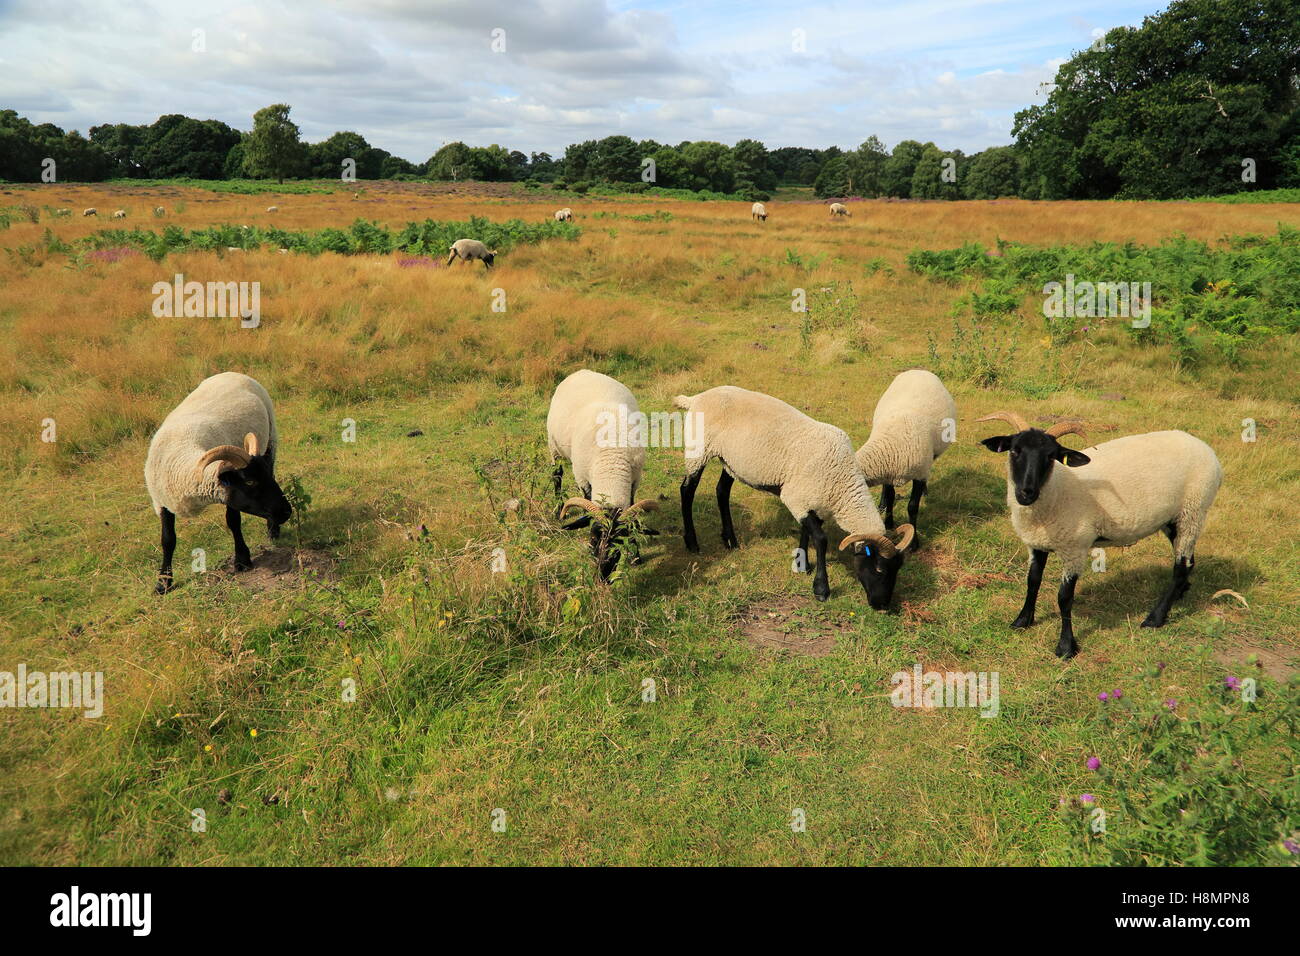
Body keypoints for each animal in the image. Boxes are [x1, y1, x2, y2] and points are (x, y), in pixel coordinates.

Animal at [144, 372, 293, 594]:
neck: (180, 459)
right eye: (249, 481)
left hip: (271, 440)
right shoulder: (160, 502)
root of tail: (232, 373)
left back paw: (273, 530)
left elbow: (233, 522)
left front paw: (242, 560)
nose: (287, 512)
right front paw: (163, 582)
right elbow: (168, 540)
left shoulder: (228, 496)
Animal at [548, 369, 657, 580]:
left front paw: (635, 556)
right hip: (554, 447)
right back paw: (558, 509)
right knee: (557, 474)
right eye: (593, 536)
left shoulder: (634, 481)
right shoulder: (583, 479)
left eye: (621, 540)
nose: (603, 575)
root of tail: (582, 371)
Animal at [676, 386, 914, 606]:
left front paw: (803, 565)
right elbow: (821, 539)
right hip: (699, 450)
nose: (881, 605)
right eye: (879, 568)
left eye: (898, 569)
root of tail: (696, 397)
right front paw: (821, 588)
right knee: (687, 491)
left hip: (733, 461)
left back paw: (730, 540)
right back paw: (692, 543)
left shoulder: (812, 501)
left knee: (722, 491)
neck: (842, 483)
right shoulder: (794, 497)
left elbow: (807, 532)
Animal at [855, 369, 956, 546]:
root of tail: (918, 370)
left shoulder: (919, 474)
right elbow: (890, 497)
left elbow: (912, 506)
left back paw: (925, 491)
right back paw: (881, 504)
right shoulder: (888, 471)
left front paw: (914, 542)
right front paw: (889, 524)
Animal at [977, 411, 1223, 659]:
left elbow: (1064, 598)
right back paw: (1180, 593)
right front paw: (1022, 621)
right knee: (1188, 561)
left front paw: (1066, 646)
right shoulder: (1037, 543)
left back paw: (1155, 617)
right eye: (1015, 450)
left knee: (1180, 567)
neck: (1057, 490)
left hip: (1193, 511)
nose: (1027, 493)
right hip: (1175, 519)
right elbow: (1032, 581)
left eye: (1051, 456)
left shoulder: (1075, 548)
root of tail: (1204, 447)